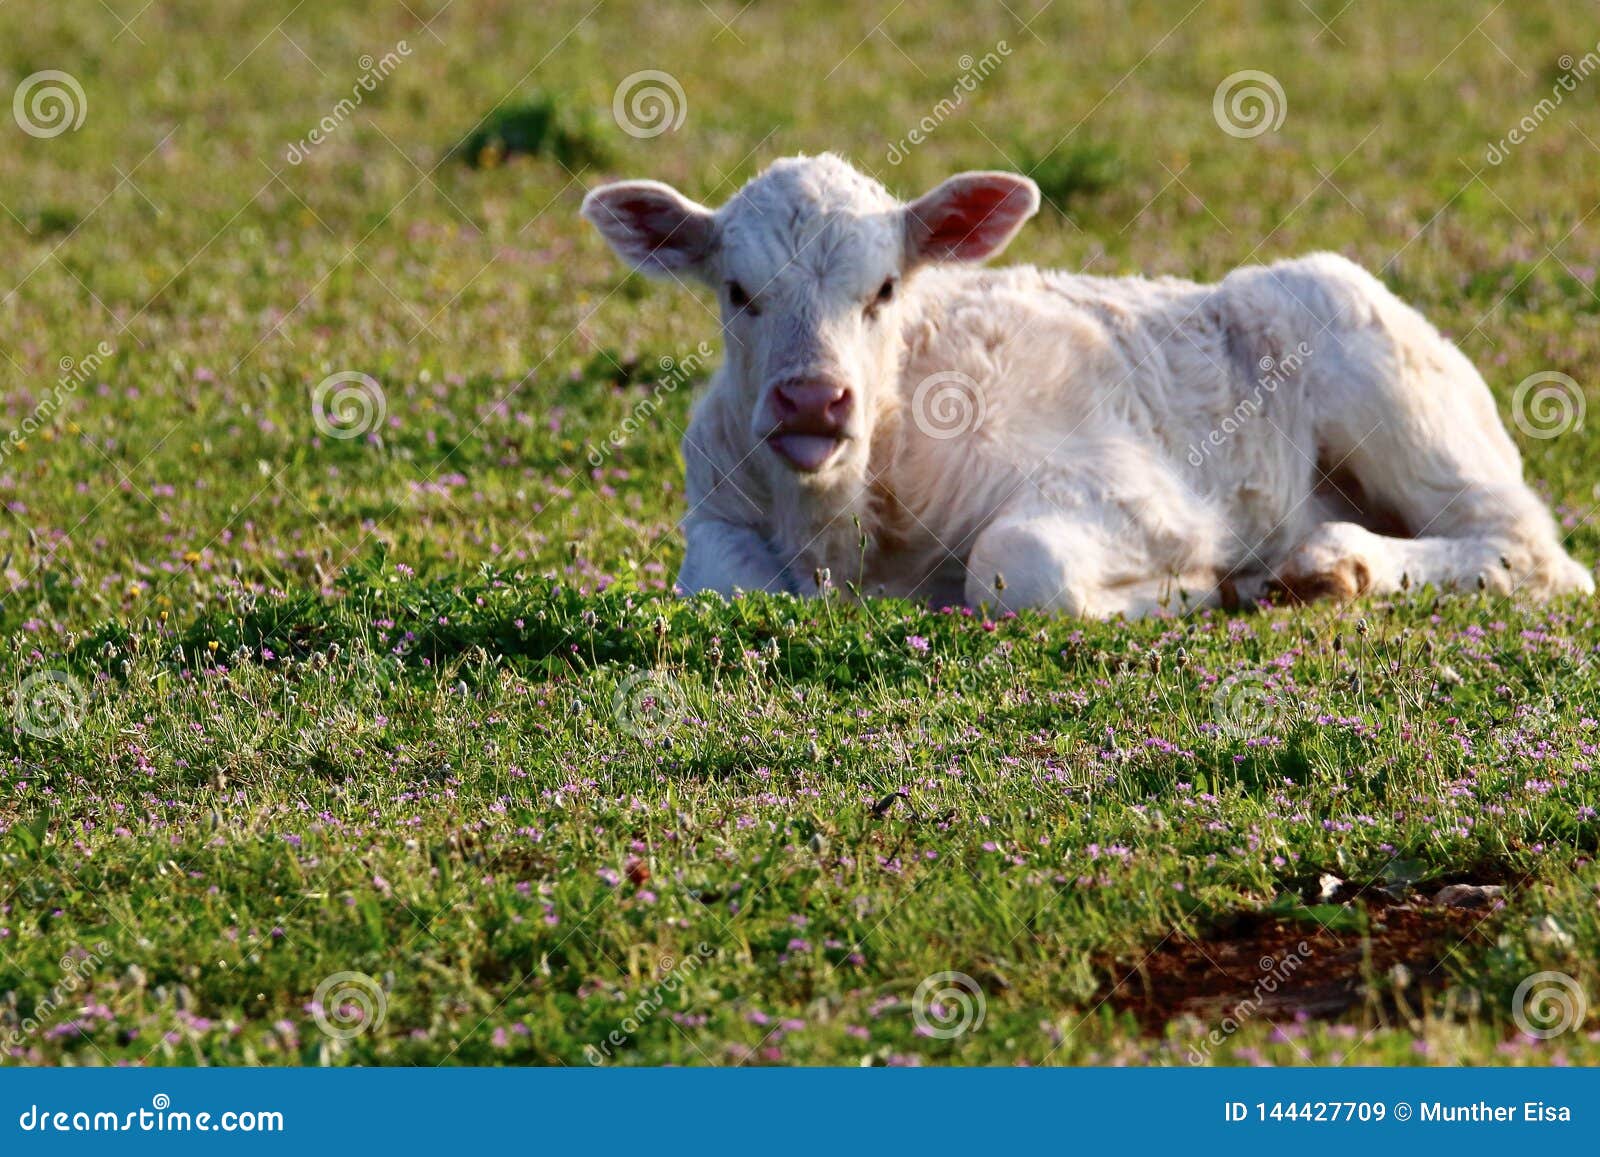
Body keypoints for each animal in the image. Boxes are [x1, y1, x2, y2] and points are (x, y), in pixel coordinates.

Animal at [581, 153, 1592, 618]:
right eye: (737, 292)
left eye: (886, 288)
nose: (811, 402)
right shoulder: (715, 511)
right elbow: (725, 583)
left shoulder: (1136, 496)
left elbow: (1016, 562)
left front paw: (1187, 590)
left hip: (1390, 388)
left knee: (1531, 549)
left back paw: (1327, 566)